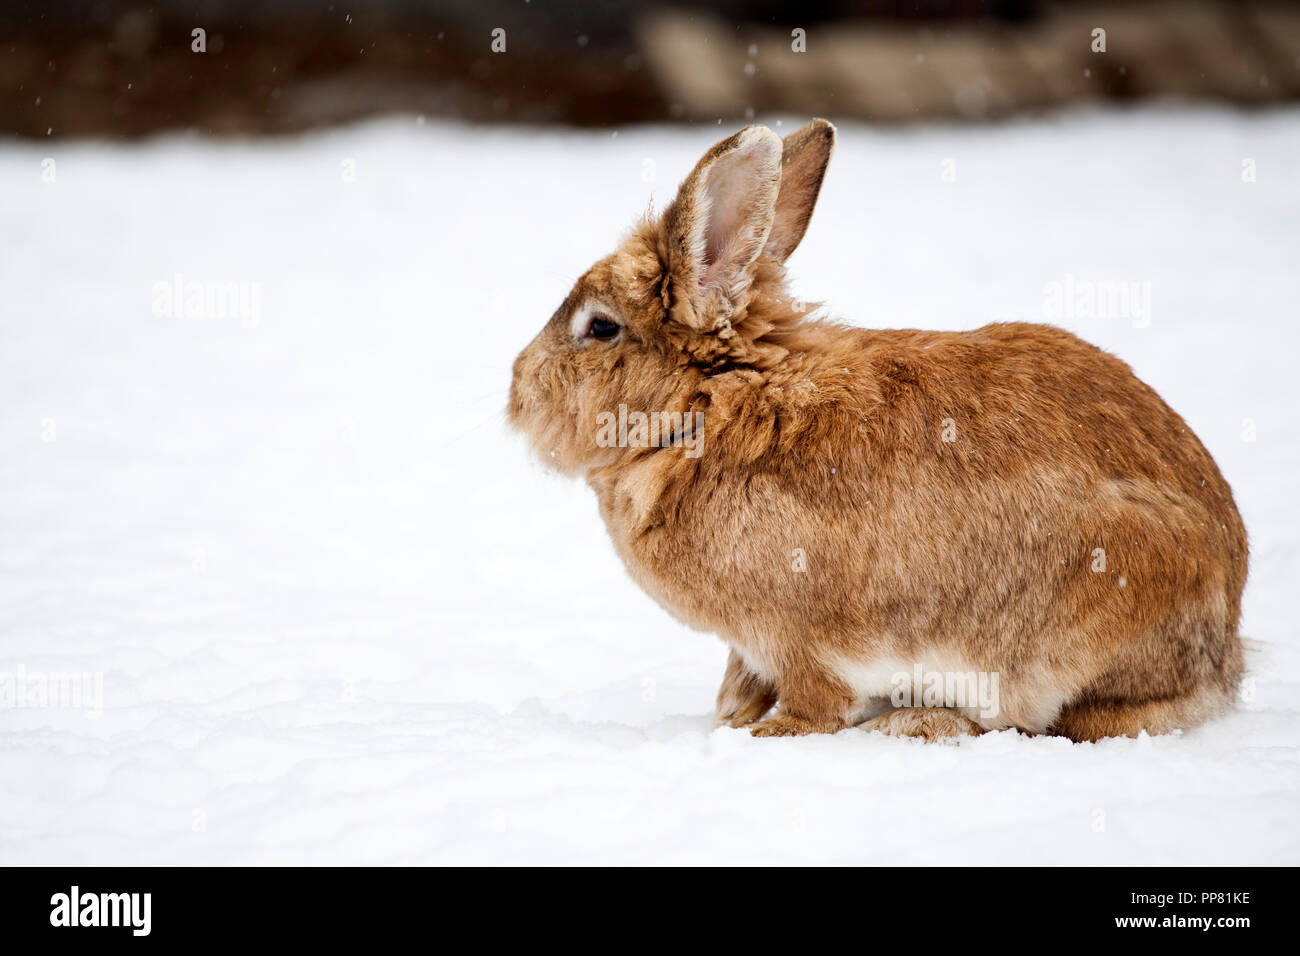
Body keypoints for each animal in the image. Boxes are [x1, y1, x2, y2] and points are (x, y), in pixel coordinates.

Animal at [507, 119, 1247, 742]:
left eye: (600, 327)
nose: (516, 392)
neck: (705, 408)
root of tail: (1225, 654)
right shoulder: (749, 647)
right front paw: (729, 717)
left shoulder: (799, 637)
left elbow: (815, 698)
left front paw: (766, 735)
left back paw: (914, 725)